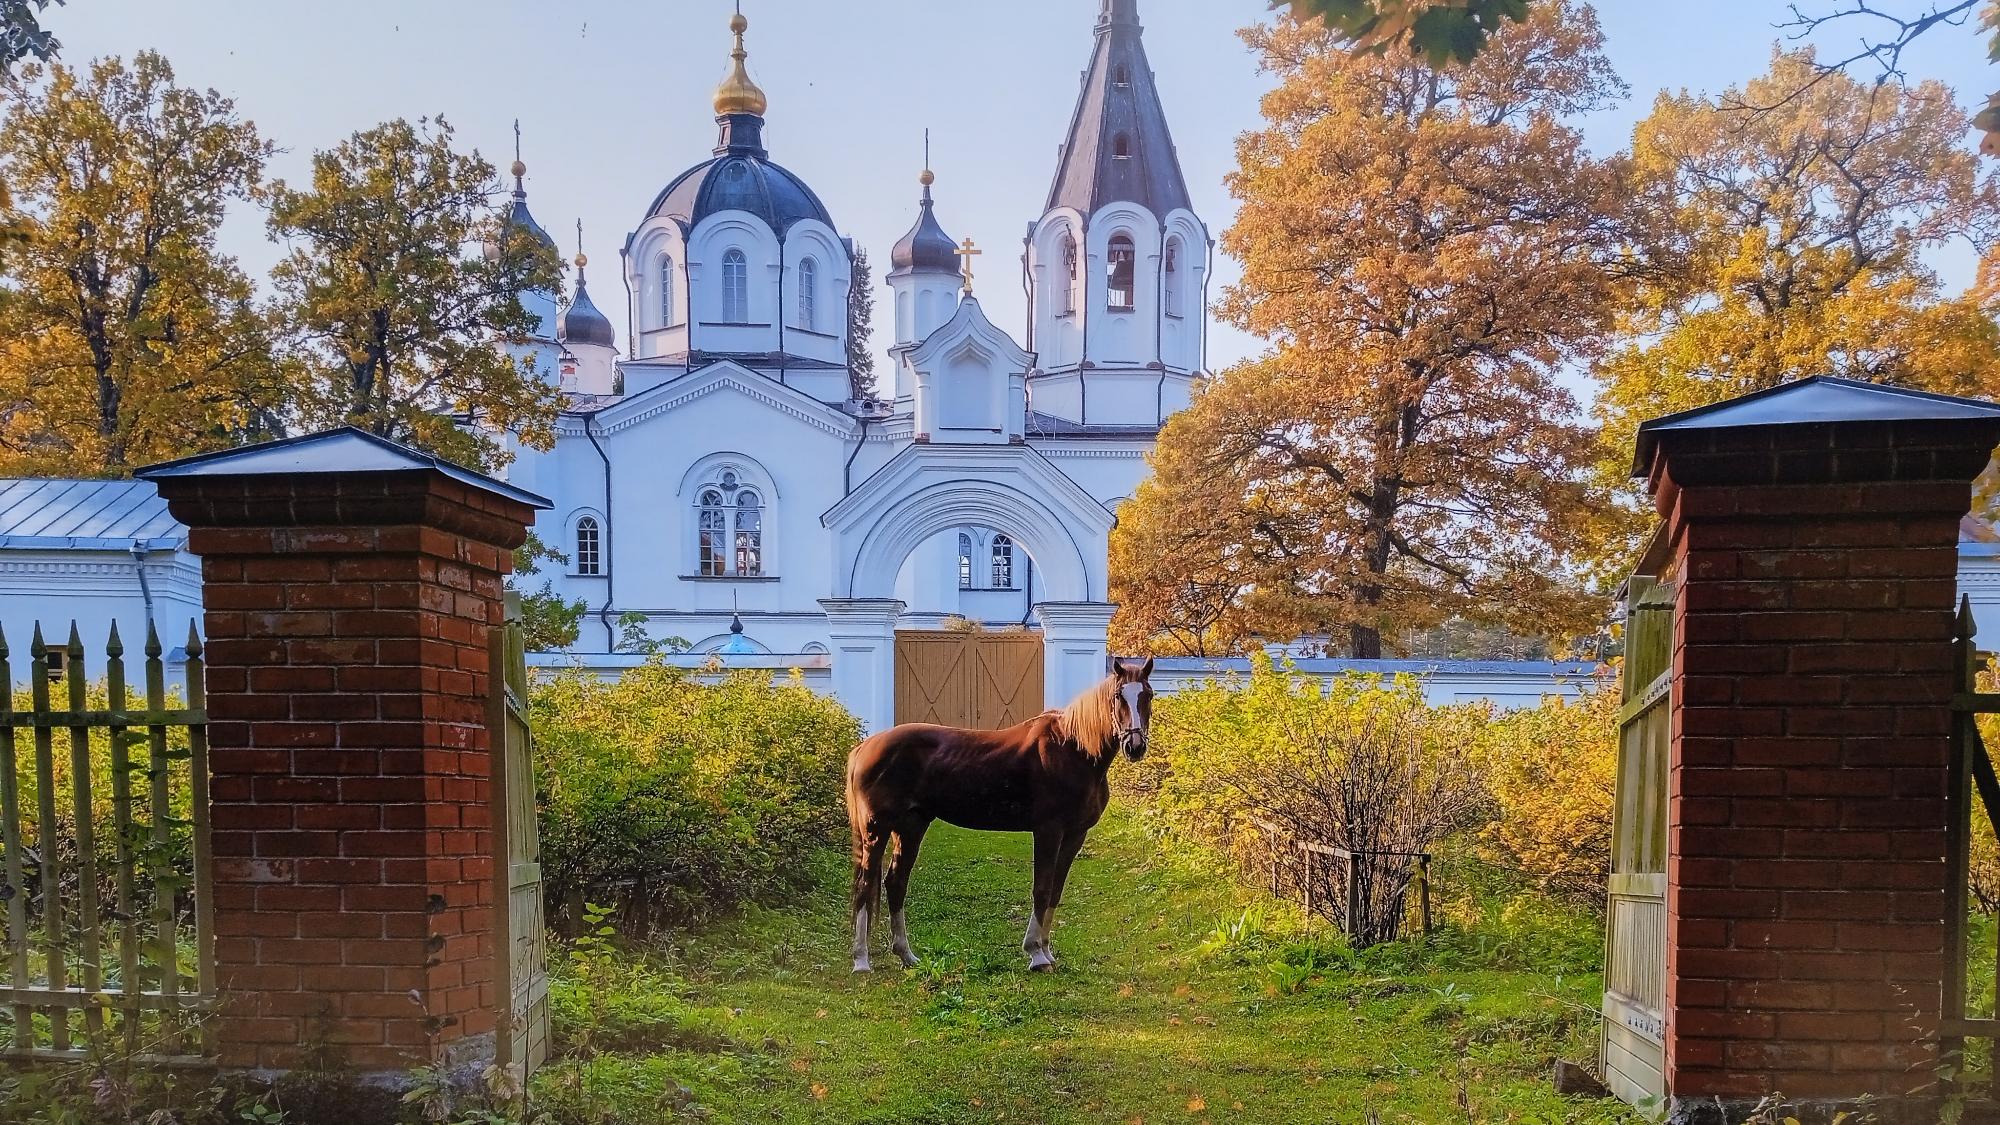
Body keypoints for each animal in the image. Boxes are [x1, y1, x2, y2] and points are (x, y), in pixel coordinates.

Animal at [844, 652, 1160, 968]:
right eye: (1118, 696)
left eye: (1148, 695)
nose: (1134, 746)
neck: (1073, 749)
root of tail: (865, 747)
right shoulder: (1048, 830)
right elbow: (1041, 889)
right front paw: (1036, 954)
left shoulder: (1075, 835)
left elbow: (1055, 892)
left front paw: (1047, 951)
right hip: (876, 828)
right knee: (864, 884)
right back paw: (861, 960)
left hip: (911, 826)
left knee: (895, 883)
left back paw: (907, 955)